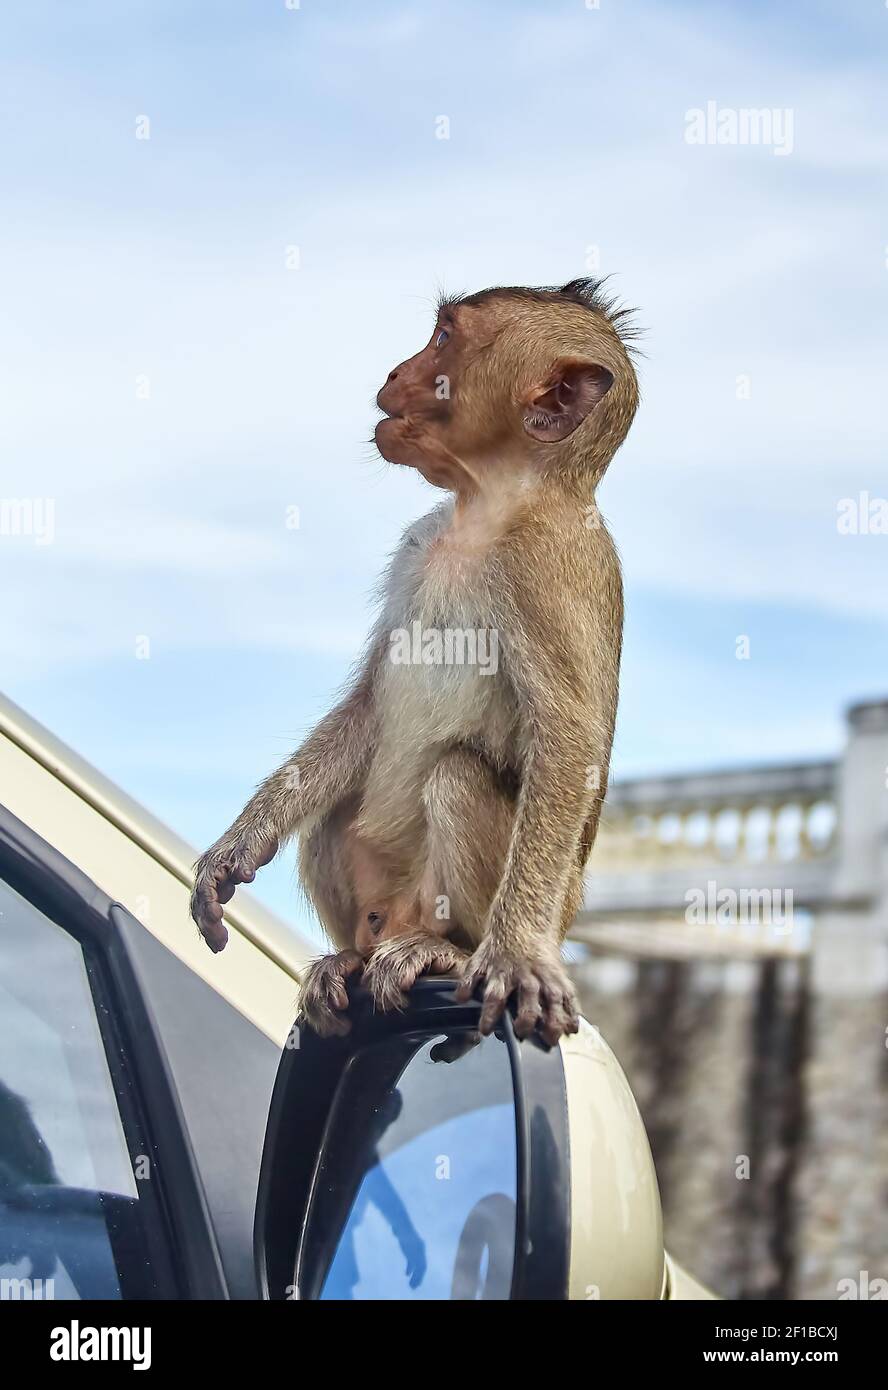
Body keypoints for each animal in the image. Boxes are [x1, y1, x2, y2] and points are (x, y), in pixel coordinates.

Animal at [190, 278, 639, 1046]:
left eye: (443, 339)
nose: (395, 372)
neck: (487, 507)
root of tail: (395, 921)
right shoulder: (419, 542)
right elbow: (371, 700)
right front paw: (239, 847)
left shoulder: (539, 568)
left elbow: (569, 737)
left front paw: (515, 954)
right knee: (337, 807)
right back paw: (346, 958)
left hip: (535, 902)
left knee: (456, 774)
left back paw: (449, 949)